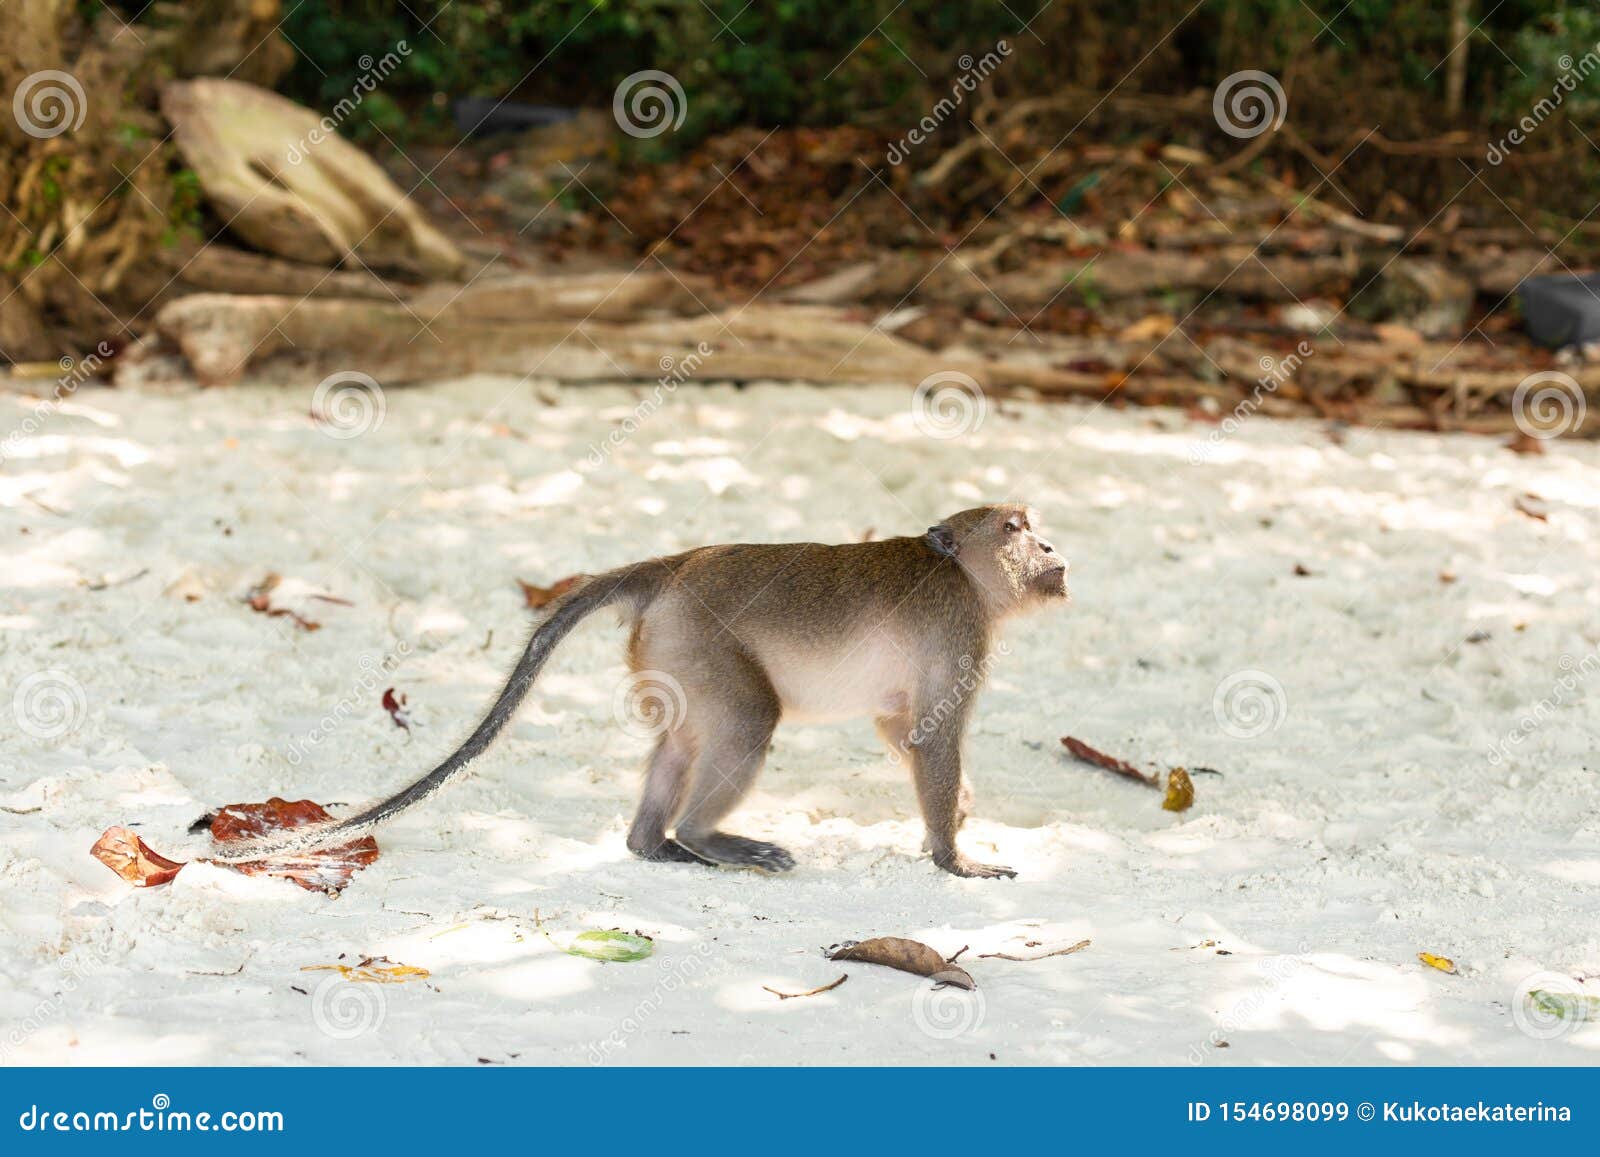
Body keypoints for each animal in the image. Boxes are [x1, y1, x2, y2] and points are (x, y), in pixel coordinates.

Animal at [207, 504, 1069, 878]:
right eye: (1015, 527)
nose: (1054, 546)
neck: (966, 577)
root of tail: (677, 564)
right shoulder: (958, 628)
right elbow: (929, 735)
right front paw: (953, 856)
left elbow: (900, 728)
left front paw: (959, 811)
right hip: (698, 639)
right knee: (747, 721)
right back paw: (704, 835)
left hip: (671, 651)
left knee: (684, 739)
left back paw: (654, 841)